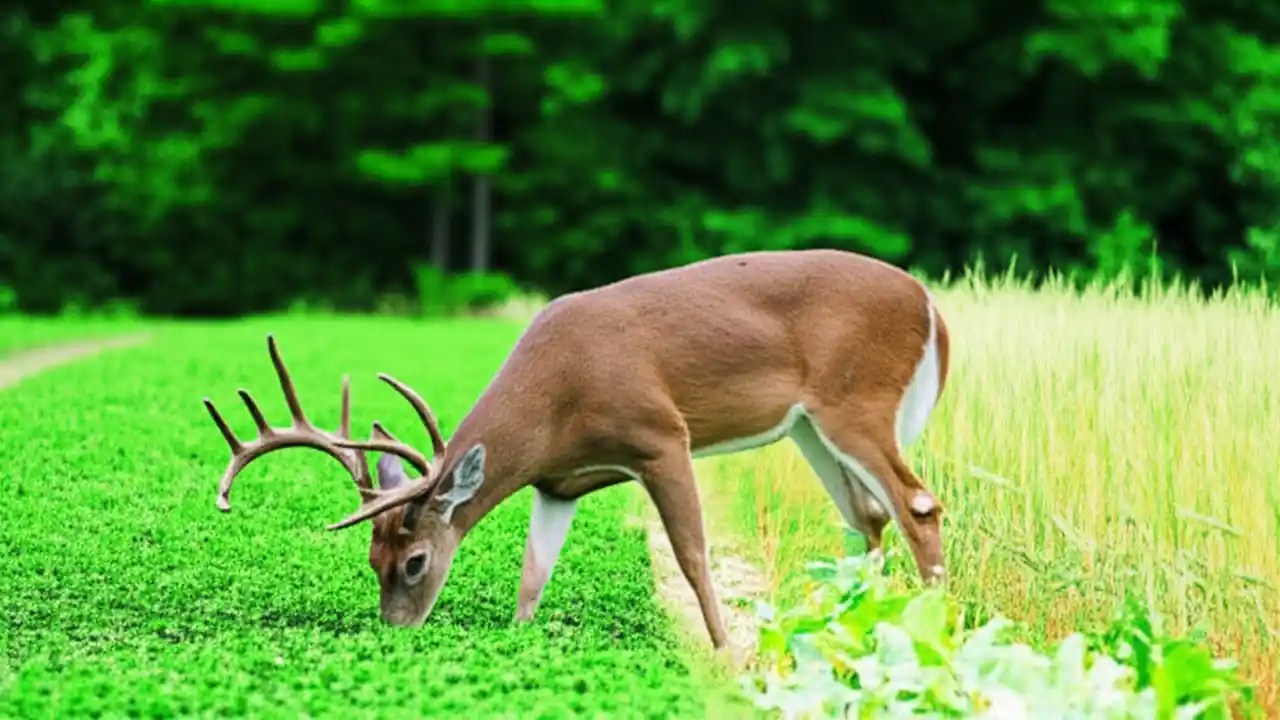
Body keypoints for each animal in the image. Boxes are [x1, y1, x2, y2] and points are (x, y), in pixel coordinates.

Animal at [202, 248, 951, 650]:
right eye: (371, 560)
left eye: (414, 561)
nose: (396, 630)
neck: (557, 403)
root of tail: (933, 308)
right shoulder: (557, 482)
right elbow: (533, 574)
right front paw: (519, 640)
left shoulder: (660, 435)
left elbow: (692, 554)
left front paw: (725, 653)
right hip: (808, 428)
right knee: (867, 516)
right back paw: (848, 631)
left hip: (855, 401)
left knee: (917, 505)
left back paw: (931, 631)